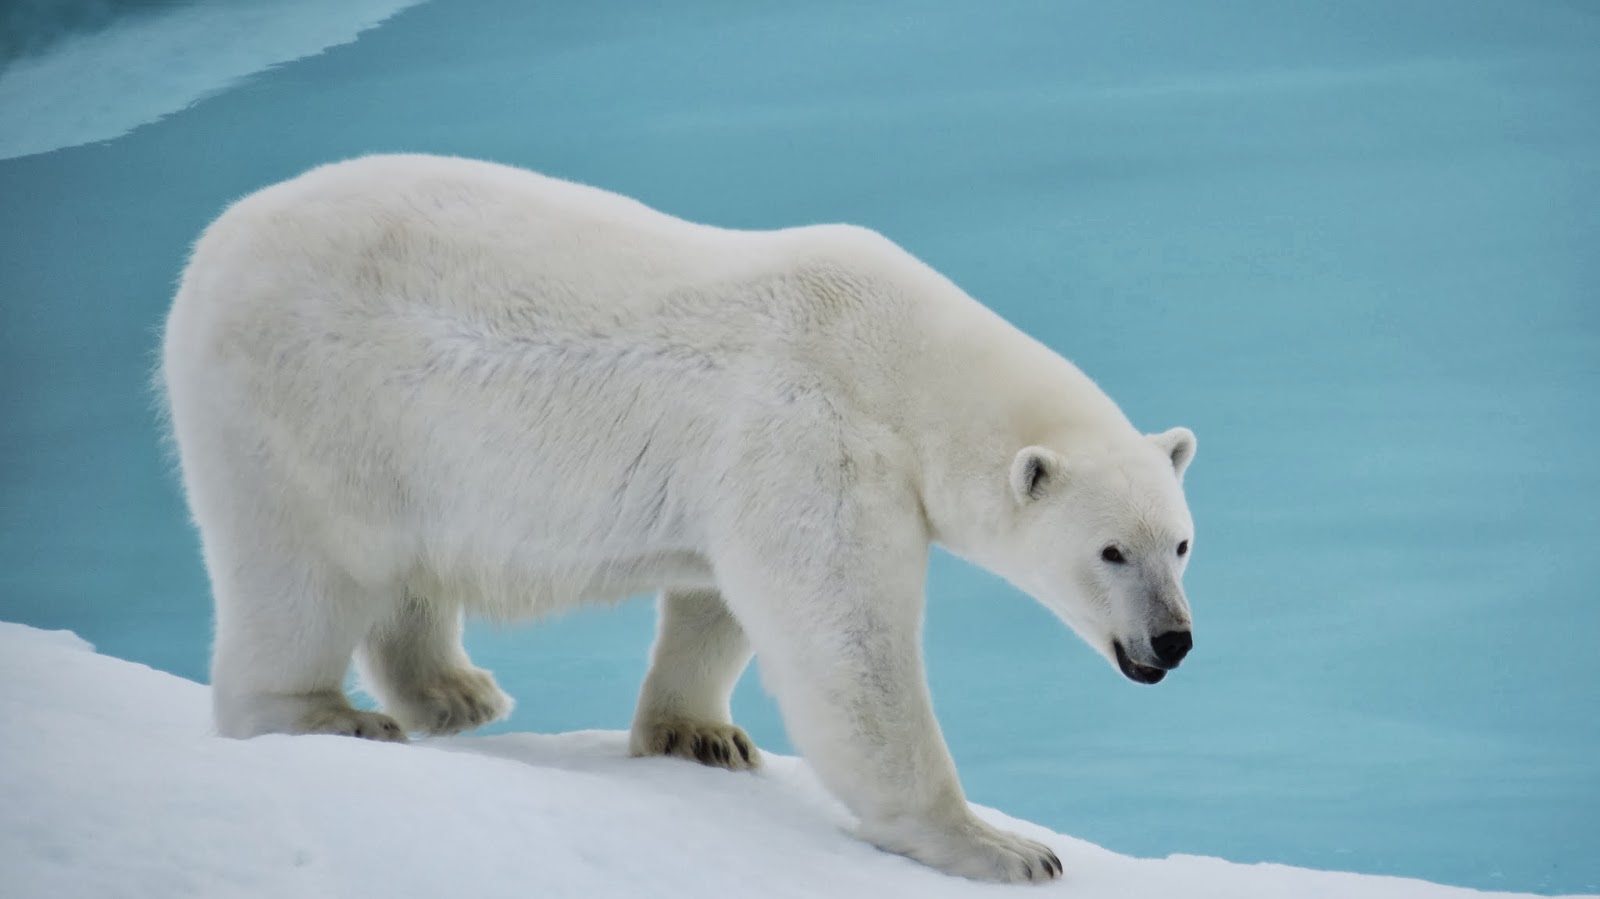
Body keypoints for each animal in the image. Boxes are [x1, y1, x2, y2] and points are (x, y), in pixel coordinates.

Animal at [160, 154, 1198, 884]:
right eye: (1111, 551)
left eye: (1182, 542)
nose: (1173, 639)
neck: (899, 358)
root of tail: (213, 246)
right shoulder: (814, 434)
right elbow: (846, 646)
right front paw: (1001, 843)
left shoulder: (751, 466)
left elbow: (717, 600)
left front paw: (700, 734)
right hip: (303, 404)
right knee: (300, 572)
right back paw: (326, 713)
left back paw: (455, 691)